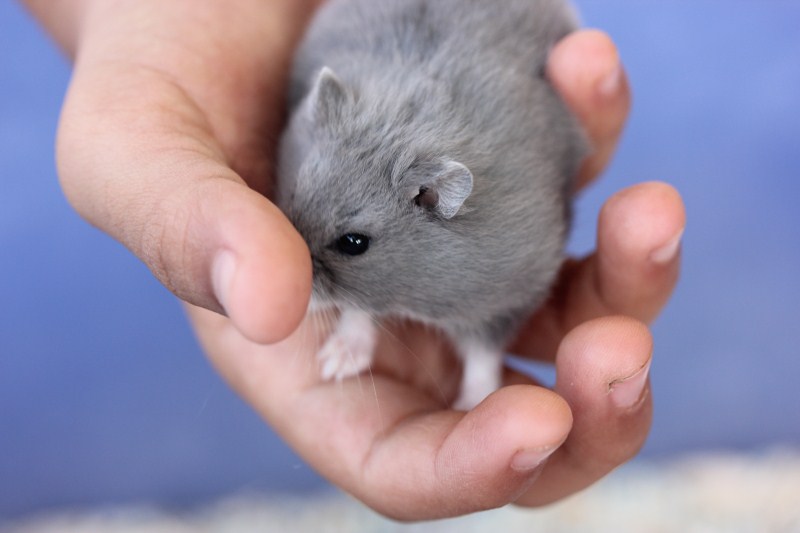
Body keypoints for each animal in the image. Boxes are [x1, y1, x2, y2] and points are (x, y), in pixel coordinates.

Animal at [276, 0, 586, 409]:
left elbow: (483, 353)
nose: (292, 298)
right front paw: (335, 364)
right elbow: (359, 308)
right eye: (294, 193)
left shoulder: (509, 297)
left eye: (353, 244)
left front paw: (472, 406)